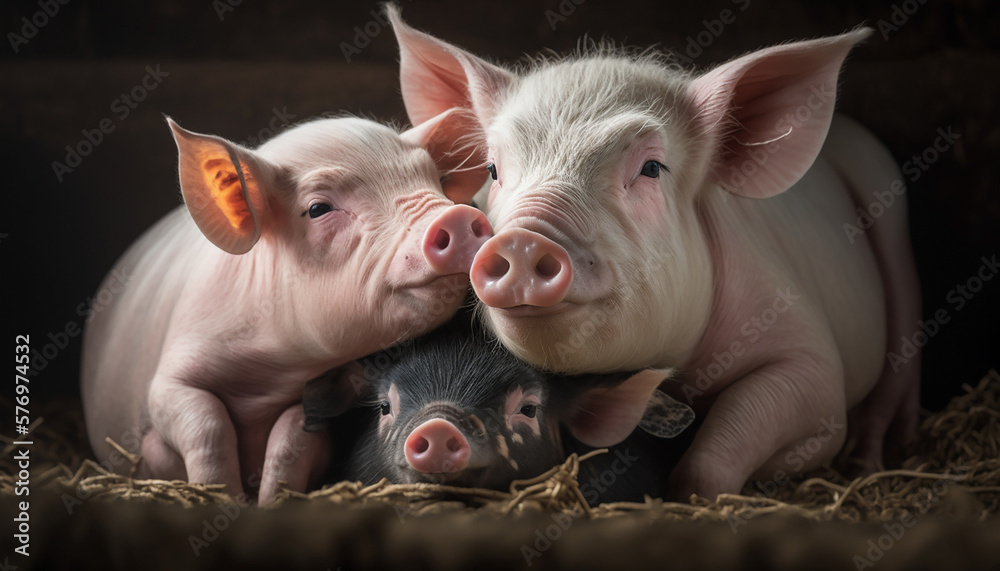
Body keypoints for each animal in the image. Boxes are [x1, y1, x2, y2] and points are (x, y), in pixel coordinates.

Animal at [80, 109, 495, 503]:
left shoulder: (314, 396)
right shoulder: (170, 379)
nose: (457, 215)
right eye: (317, 209)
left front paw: (268, 501)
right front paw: (223, 496)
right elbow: (207, 425)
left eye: (436, 181)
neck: (266, 372)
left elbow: (291, 442)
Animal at [388, 8, 922, 500]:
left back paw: (868, 462)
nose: (522, 239)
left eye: (651, 168)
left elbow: (760, 427)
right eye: (493, 169)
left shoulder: (808, 352)